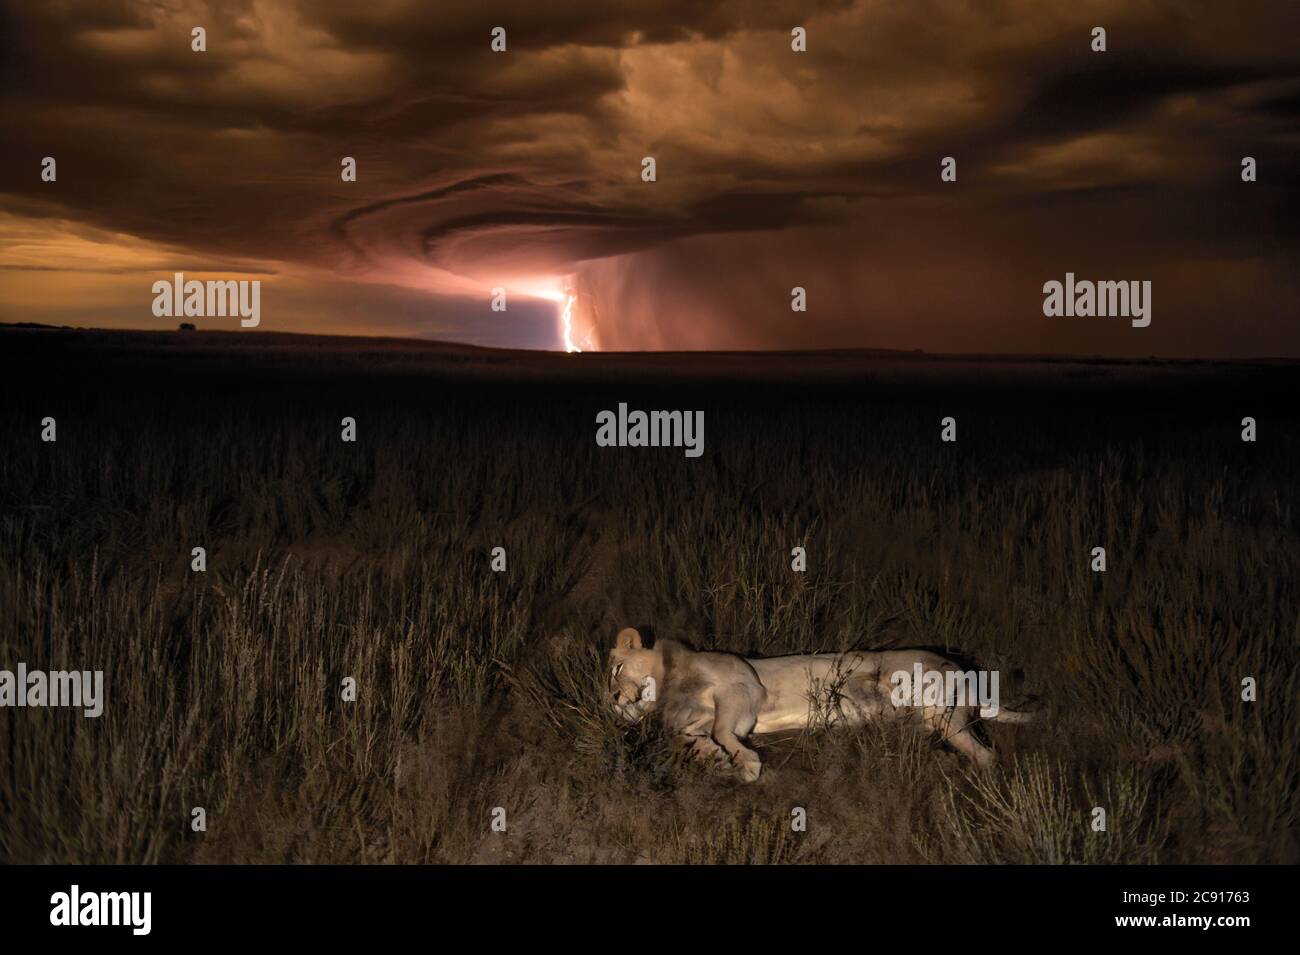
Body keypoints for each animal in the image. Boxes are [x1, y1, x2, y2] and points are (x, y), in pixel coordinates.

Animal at [607, 626, 1034, 781]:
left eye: (616, 669)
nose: (613, 702)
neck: (669, 685)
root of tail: (964, 668)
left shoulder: (743, 685)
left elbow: (721, 728)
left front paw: (745, 763)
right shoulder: (699, 718)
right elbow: (685, 737)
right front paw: (715, 757)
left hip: (935, 706)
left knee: (986, 755)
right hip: (937, 719)